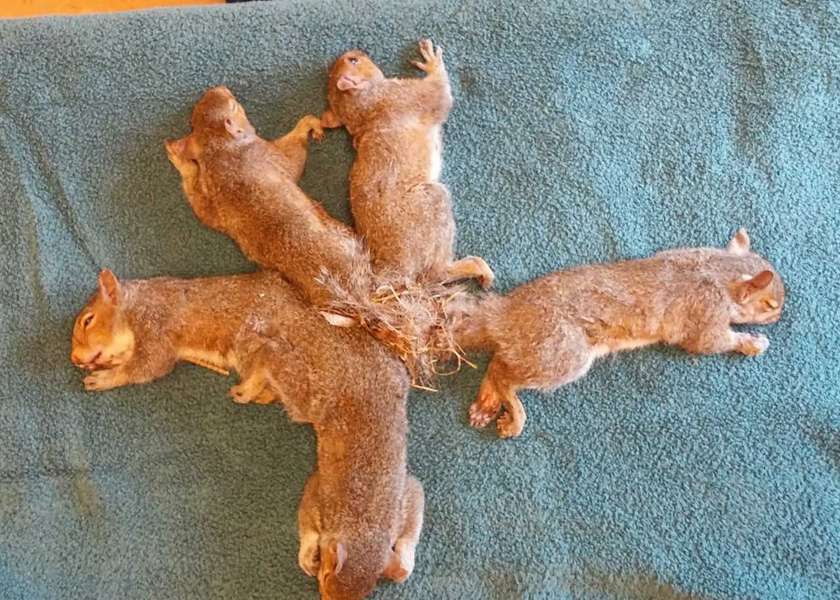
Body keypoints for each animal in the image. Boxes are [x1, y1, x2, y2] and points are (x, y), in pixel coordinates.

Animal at [70, 269, 423, 596]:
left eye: (88, 320)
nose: (75, 359)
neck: (137, 305)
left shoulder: (155, 326)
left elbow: (146, 366)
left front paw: (106, 377)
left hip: (289, 364)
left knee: (269, 363)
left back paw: (252, 386)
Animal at [165, 86, 372, 311]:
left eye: (193, 121)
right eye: (233, 106)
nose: (219, 87)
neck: (219, 151)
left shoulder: (212, 200)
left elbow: (201, 207)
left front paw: (177, 156)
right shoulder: (268, 155)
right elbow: (293, 157)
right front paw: (309, 123)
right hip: (348, 236)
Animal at [322, 40, 494, 289]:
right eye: (353, 61)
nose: (355, 51)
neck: (363, 106)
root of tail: (393, 268)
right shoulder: (404, 95)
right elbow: (439, 94)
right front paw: (432, 63)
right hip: (431, 204)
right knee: (434, 274)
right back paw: (473, 267)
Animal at [449, 229, 785, 439]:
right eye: (769, 304)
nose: (781, 314)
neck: (715, 271)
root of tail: (505, 313)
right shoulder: (705, 315)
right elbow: (713, 342)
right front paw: (753, 343)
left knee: (498, 362)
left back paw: (485, 402)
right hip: (562, 352)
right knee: (506, 375)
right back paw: (514, 413)